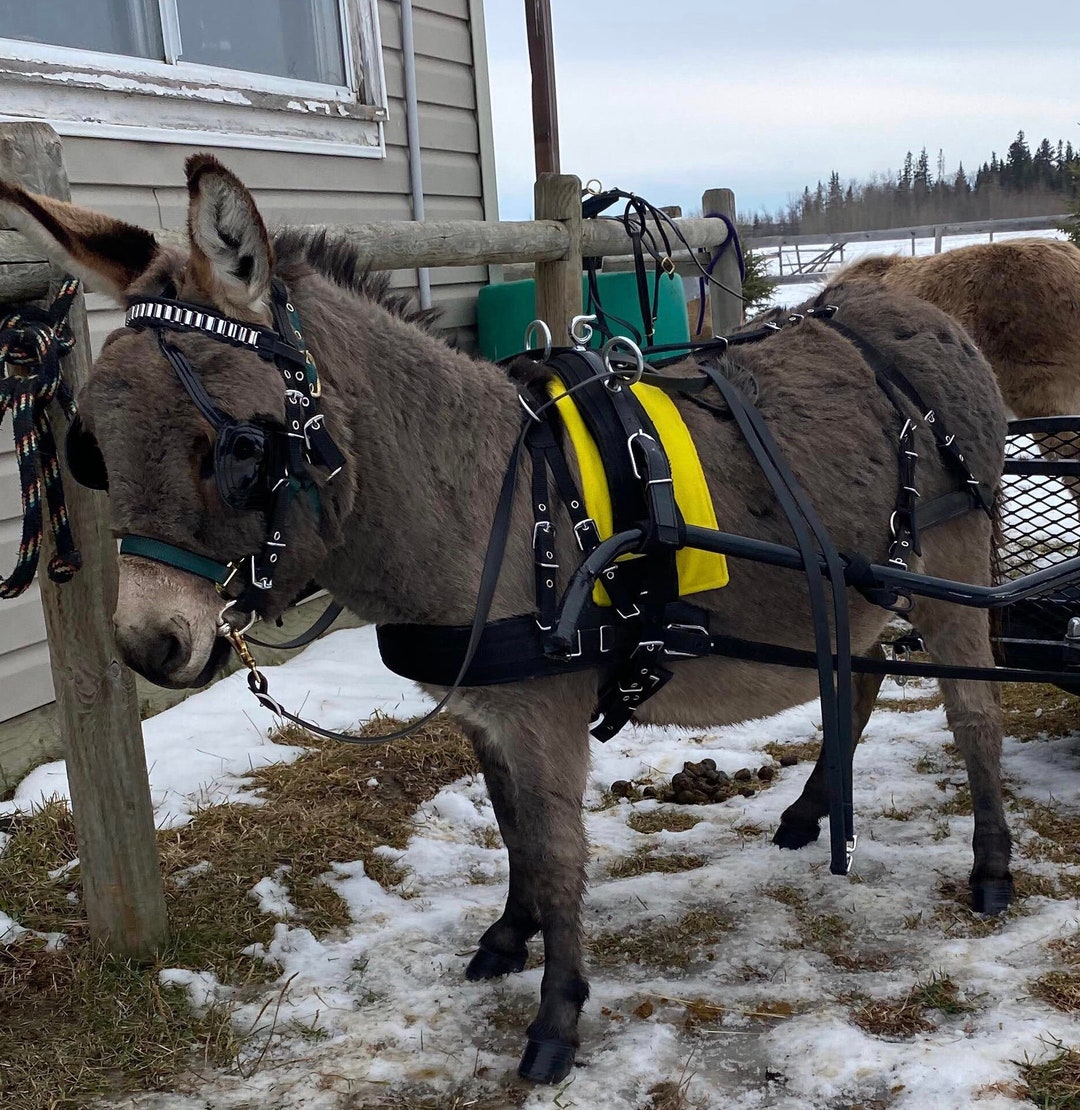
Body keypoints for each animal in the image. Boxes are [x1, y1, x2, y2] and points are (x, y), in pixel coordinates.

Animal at [0, 156, 1013, 1084]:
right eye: (88, 450)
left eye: (241, 450)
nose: (149, 644)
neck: (483, 497)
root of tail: (922, 314)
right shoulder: (483, 712)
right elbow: (513, 828)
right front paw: (506, 937)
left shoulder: (546, 715)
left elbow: (559, 851)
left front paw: (557, 1021)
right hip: (854, 589)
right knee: (865, 680)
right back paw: (811, 813)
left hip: (949, 571)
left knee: (973, 716)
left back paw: (992, 868)